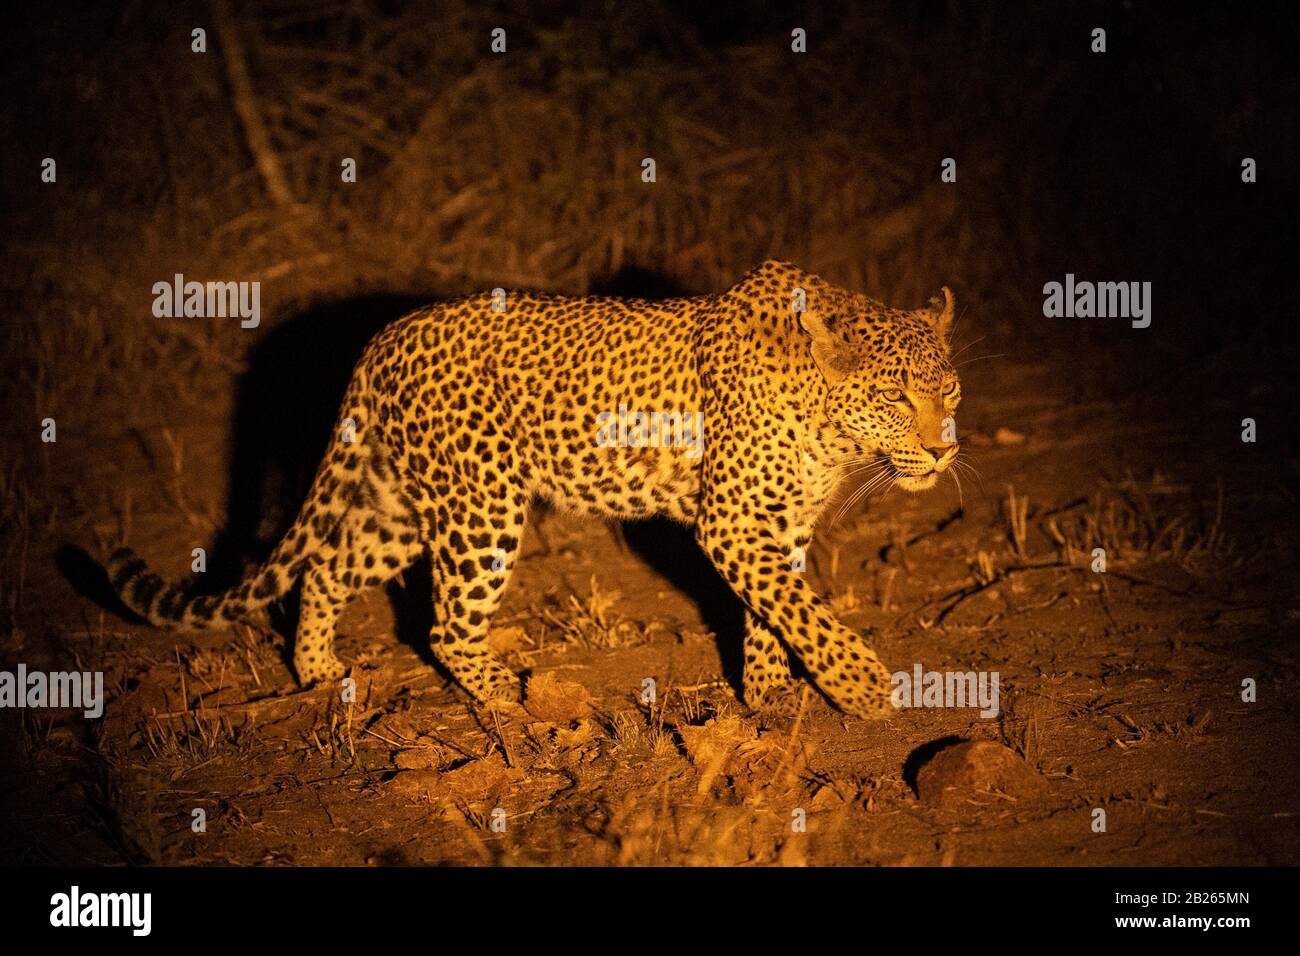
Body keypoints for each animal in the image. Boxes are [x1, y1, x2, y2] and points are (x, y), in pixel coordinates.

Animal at [108, 259, 963, 719]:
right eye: (896, 397)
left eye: (949, 391)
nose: (942, 448)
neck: (833, 431)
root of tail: (381, 339)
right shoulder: (729, 522)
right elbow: (799, 610)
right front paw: (862, 686)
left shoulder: (779, 523)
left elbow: (775, 612)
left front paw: (769, 692)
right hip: (481, 505)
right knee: (446, 625)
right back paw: (508, 695)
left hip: (404, 507)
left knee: (326, 566)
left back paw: (316, 672)